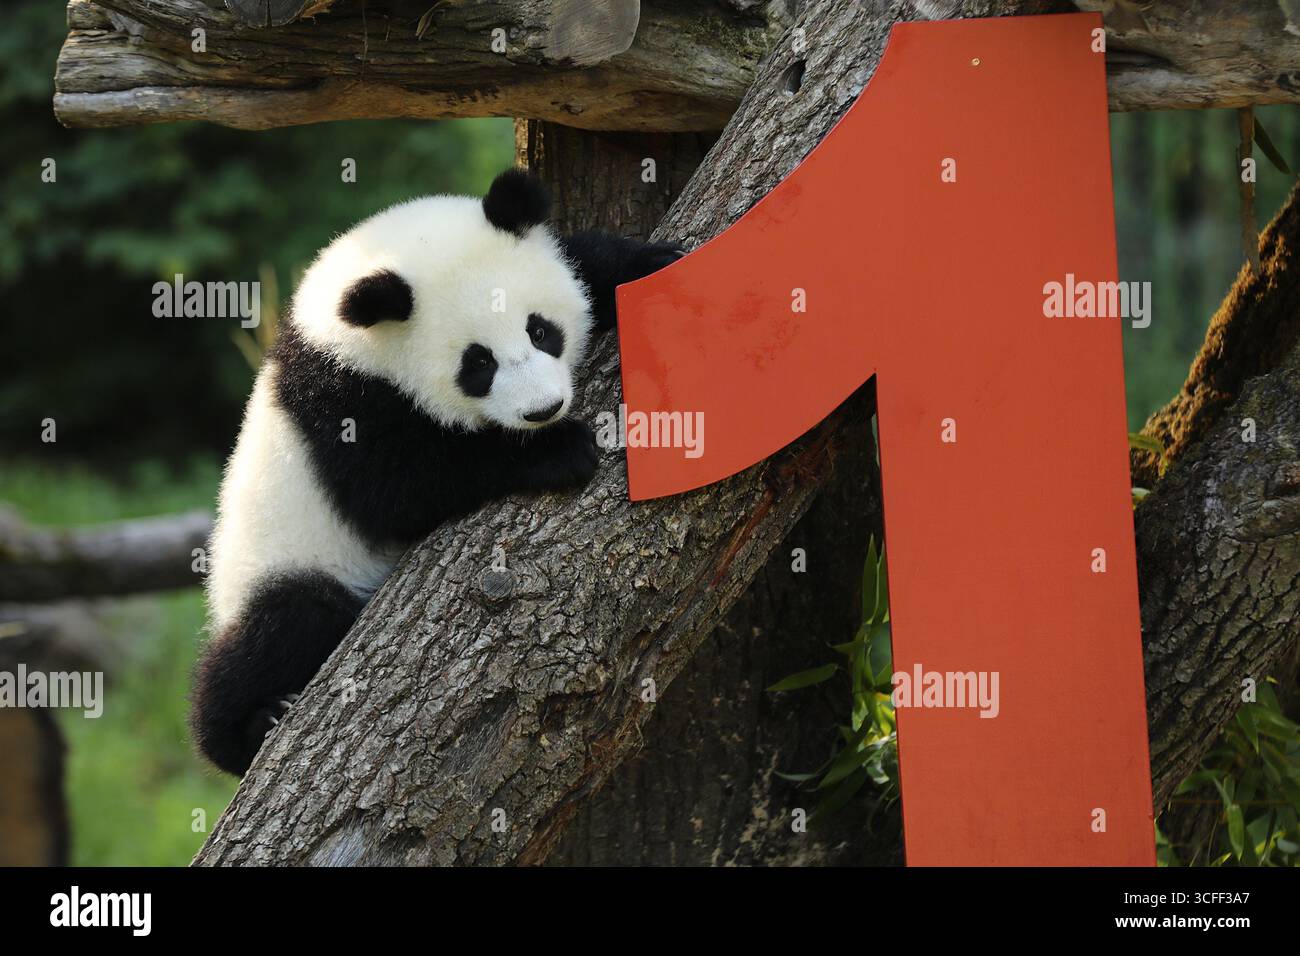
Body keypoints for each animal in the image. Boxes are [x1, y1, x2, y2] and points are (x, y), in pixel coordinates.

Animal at [190, 169, 681, 775]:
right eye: (478, 364)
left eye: (540, 331)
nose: (542, 410)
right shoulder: (345, 400)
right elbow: (401, 486)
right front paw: (558, 449)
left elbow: (585, 261)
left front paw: (652, 263)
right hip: (284, 559)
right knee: (284, 623)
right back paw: (251, 725)